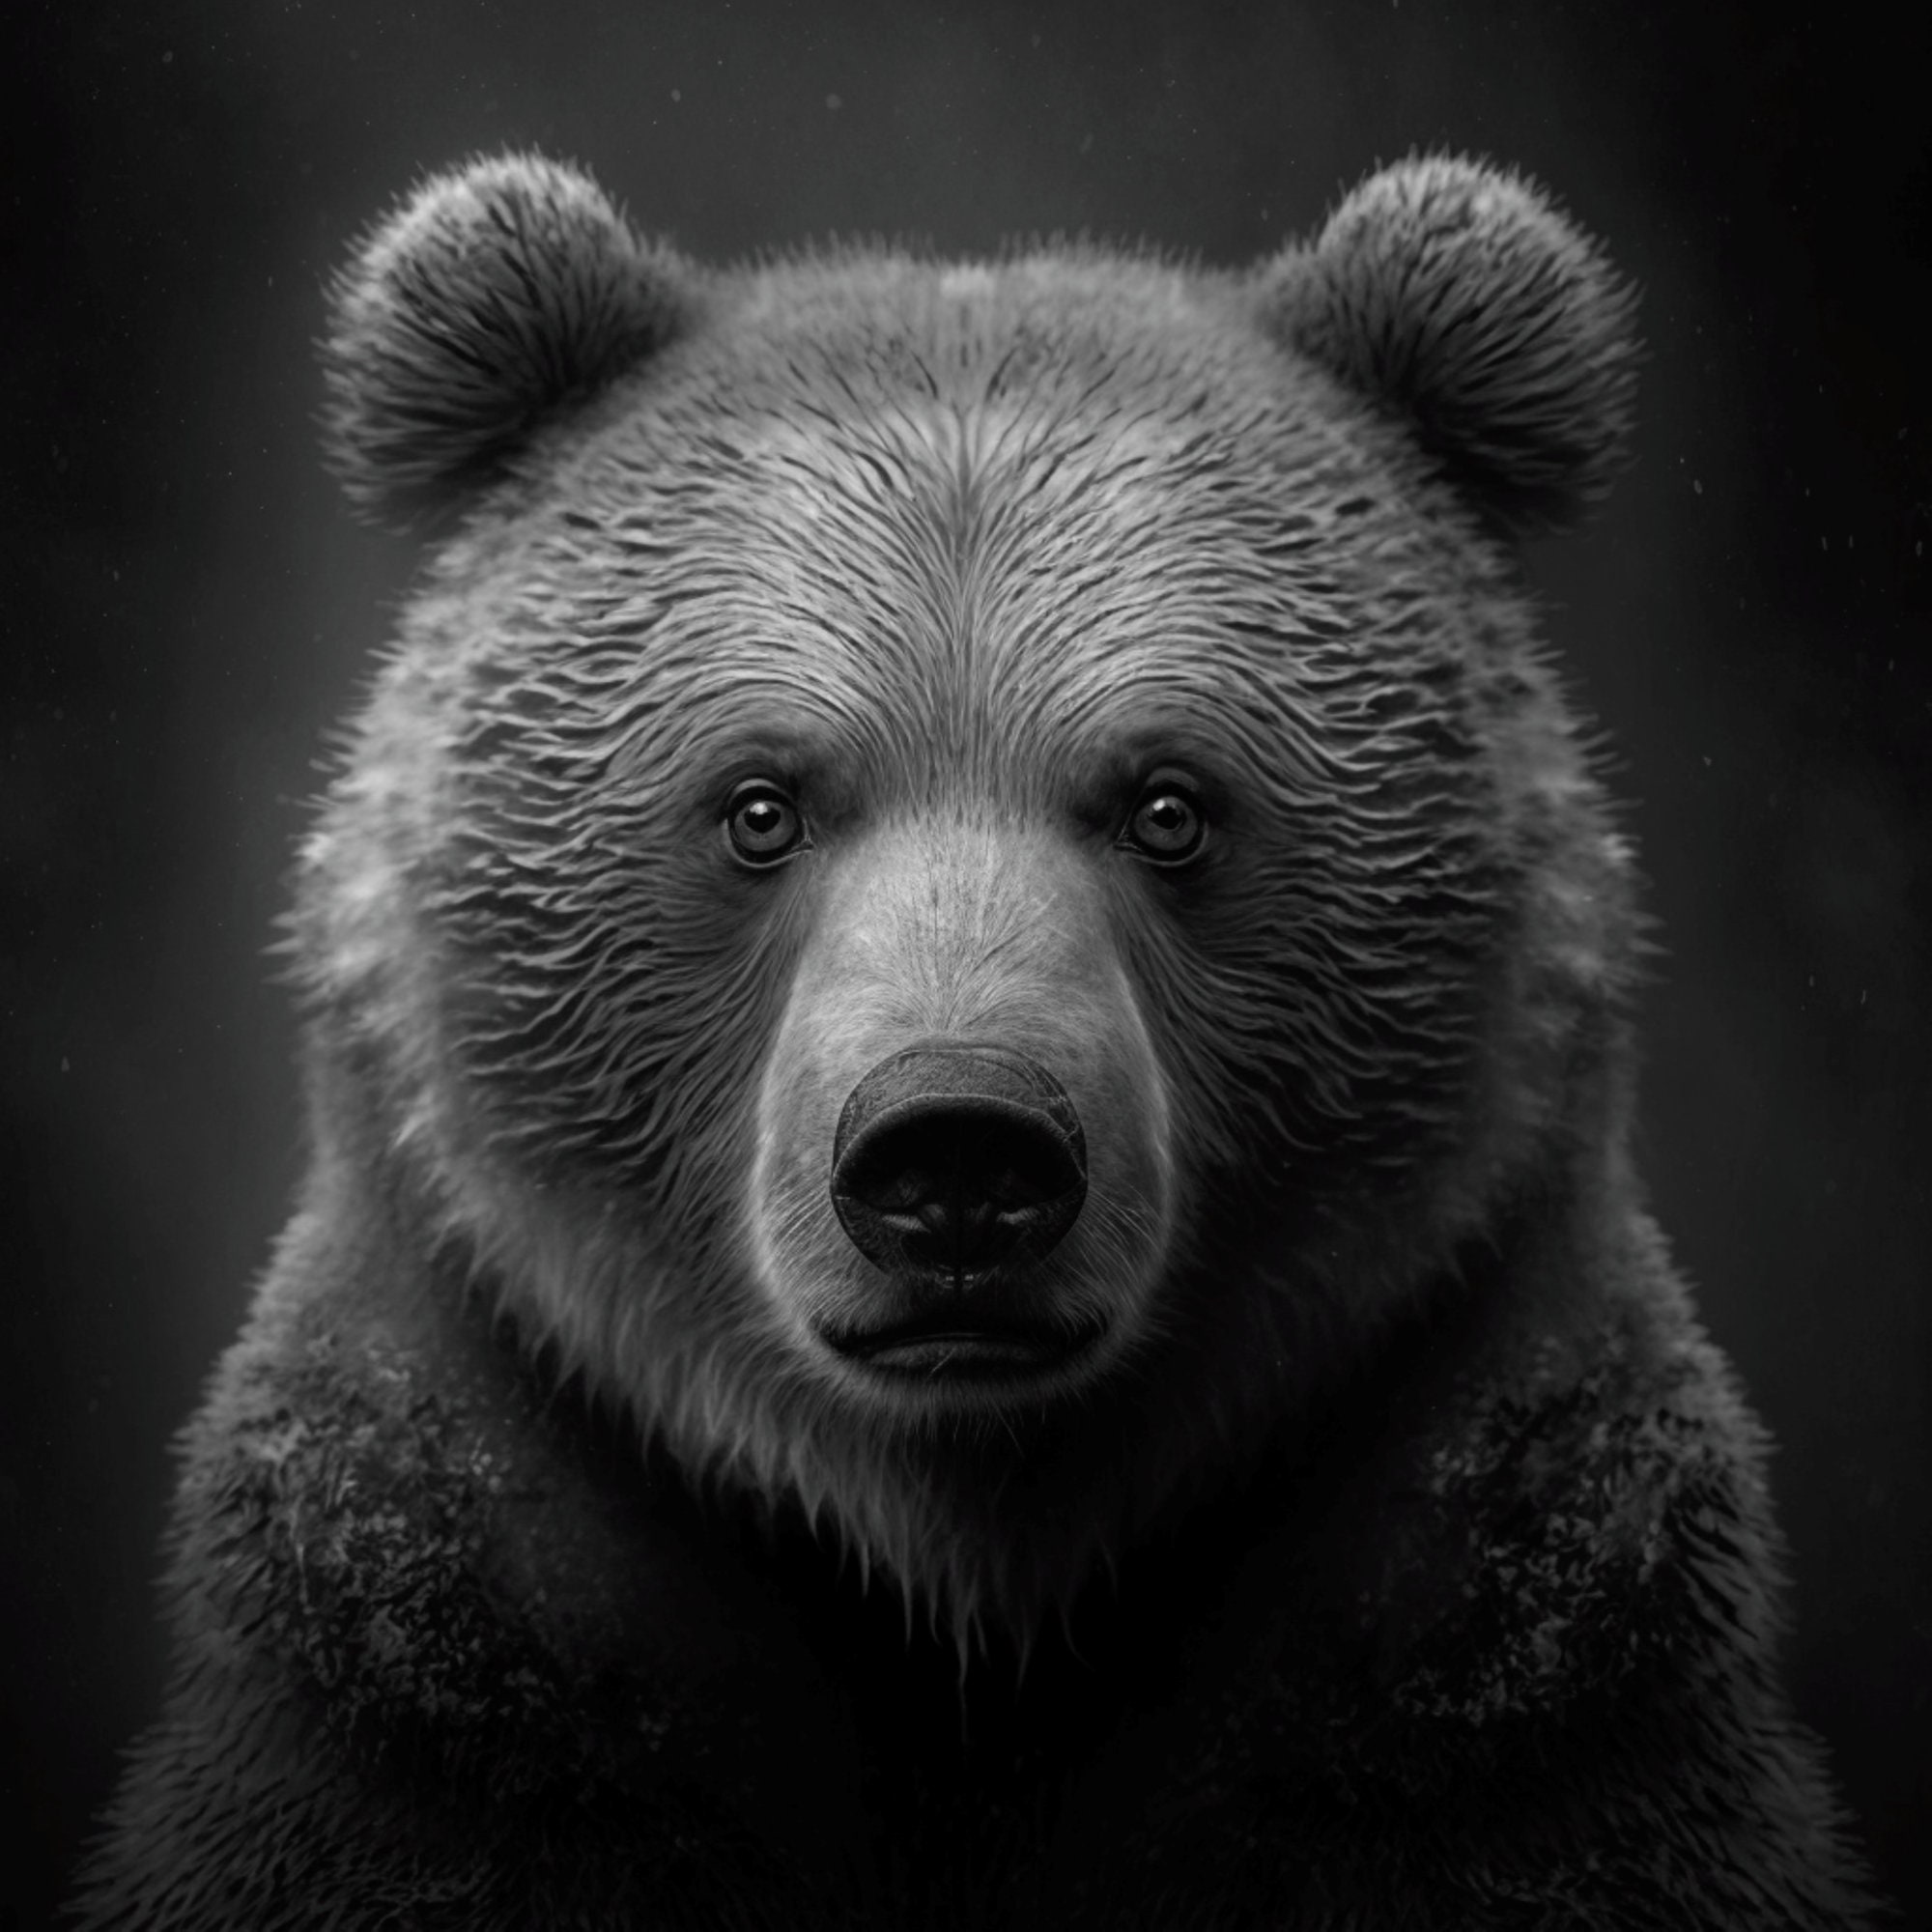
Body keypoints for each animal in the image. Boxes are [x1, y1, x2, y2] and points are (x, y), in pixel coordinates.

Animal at [72, 151, 1883, 1929]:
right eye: (760, 804)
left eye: (1168, 803)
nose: (955, 1152)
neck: (959, 1578)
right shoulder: (440, 1674)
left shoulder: (1506, 1681)